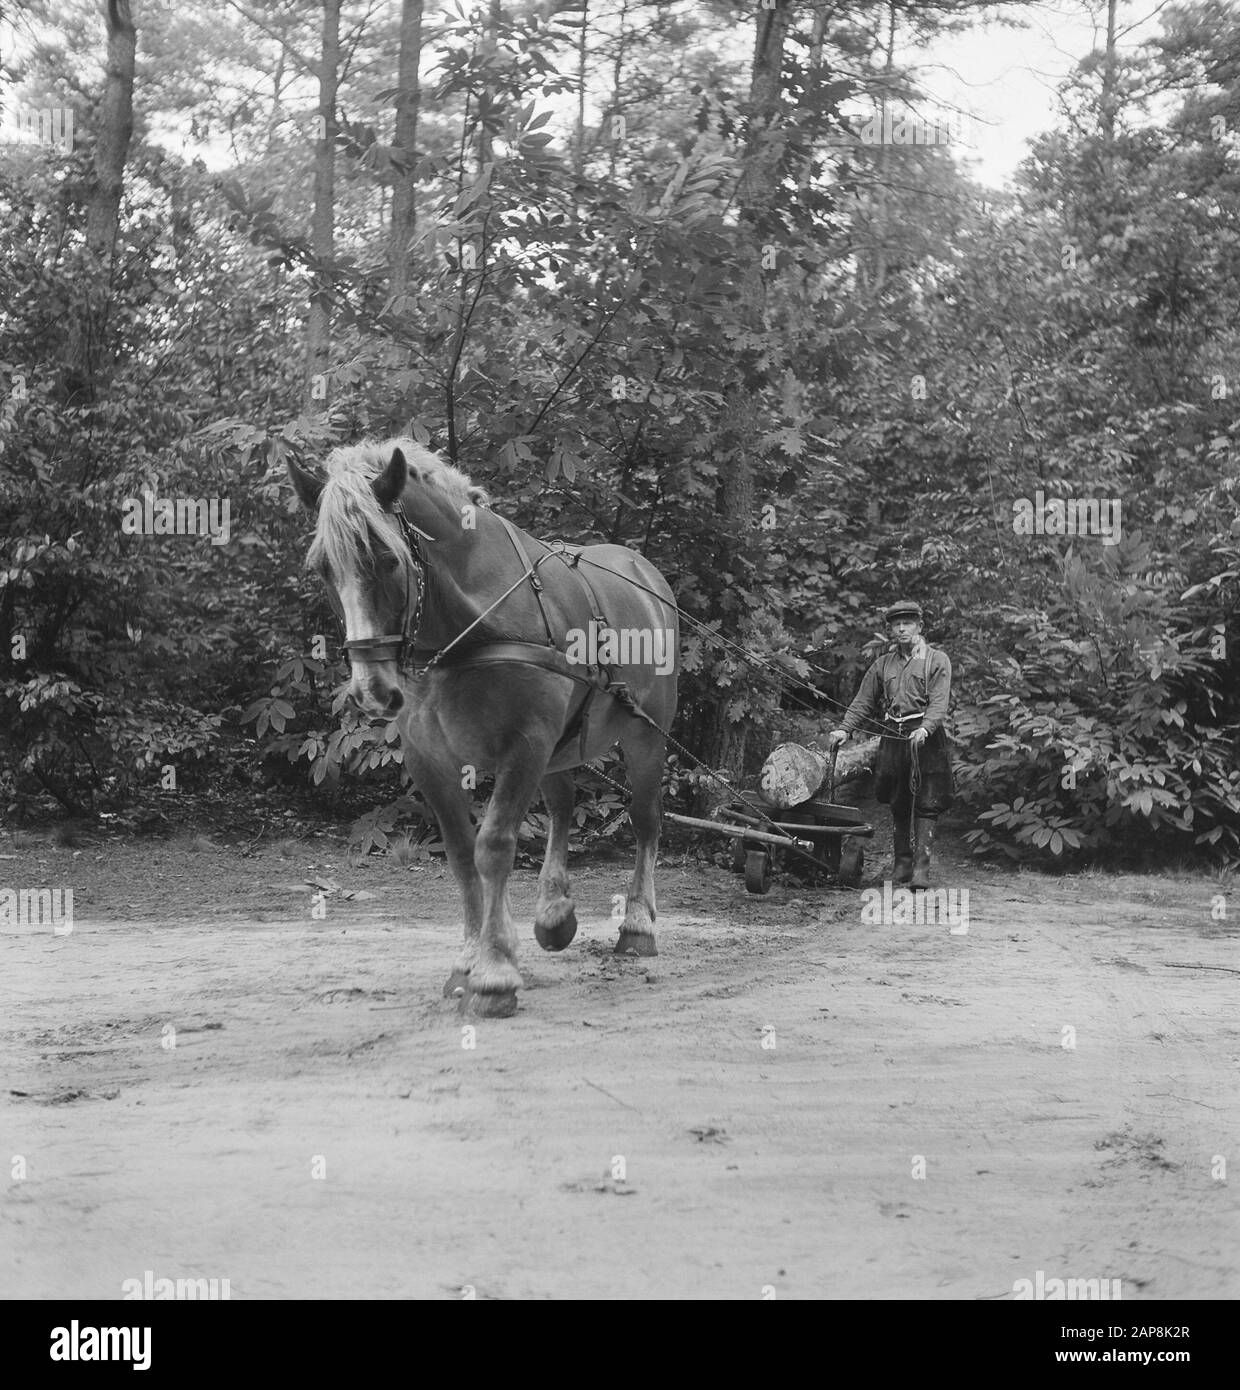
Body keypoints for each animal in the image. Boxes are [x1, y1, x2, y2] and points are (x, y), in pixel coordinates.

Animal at [288, 438, 679, 1017]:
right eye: (322, 569)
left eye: (387, 559)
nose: (371, 691)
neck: (469, 626)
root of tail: (647, 575)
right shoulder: (429, 756)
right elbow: (459, 853)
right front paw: (470, 961)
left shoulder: (526, 743)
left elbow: (493, 845)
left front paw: (494, 974)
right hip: (561, 747)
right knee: (562, 808)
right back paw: (554, 913)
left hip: (645, 735)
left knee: (646, 819)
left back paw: (637, 925)